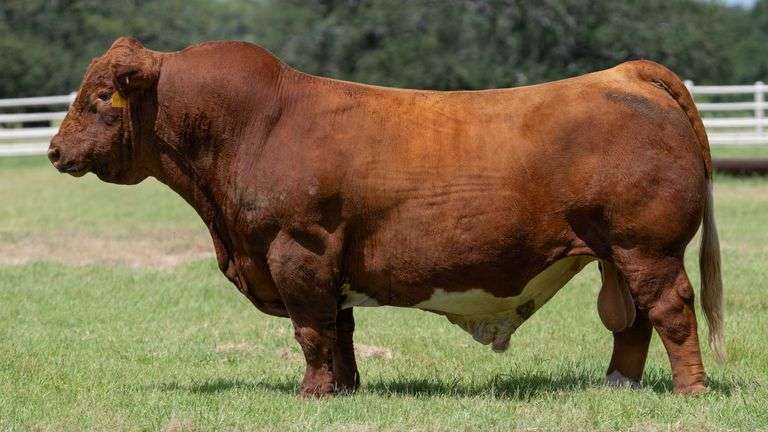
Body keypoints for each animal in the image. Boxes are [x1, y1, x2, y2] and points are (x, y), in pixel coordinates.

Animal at [49, 37, 723, 397]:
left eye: (98, 97)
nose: (54, 150)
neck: (251, 127)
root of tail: (625, 74)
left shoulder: (297, 249)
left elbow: (311, 331)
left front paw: (312, 395)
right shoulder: (330, 265)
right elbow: (339, 330)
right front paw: (345, 390)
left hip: (647, 247)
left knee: (671, 310)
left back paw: (690, 390)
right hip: (615, 252)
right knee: (630, 322)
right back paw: (618, 385)